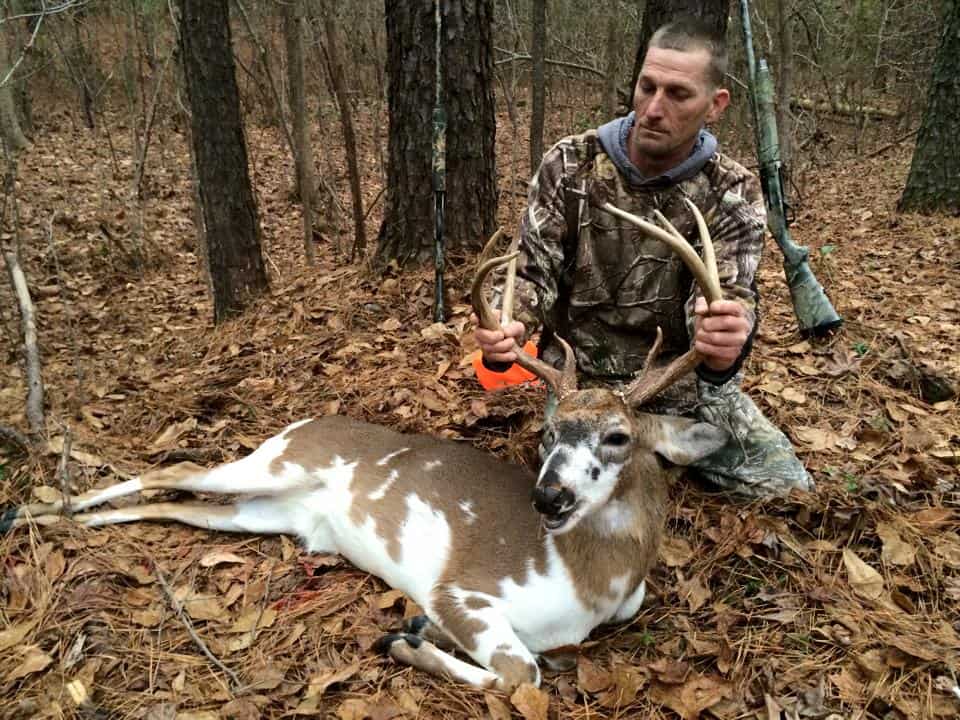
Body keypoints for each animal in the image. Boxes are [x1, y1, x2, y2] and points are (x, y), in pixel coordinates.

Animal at [3, 199, 728, 692]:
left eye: (618, 435)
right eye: (548, 433)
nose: (548, 497)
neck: (590, 584)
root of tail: (300, 424)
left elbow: (528, 671)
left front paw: (413, 637)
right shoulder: (461, 590)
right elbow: (523, 675)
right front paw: (407, 640)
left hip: (262, 514)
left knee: (175, 500)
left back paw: (53, 516)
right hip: (270, 467)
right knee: (174, 469)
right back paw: (38, 509)